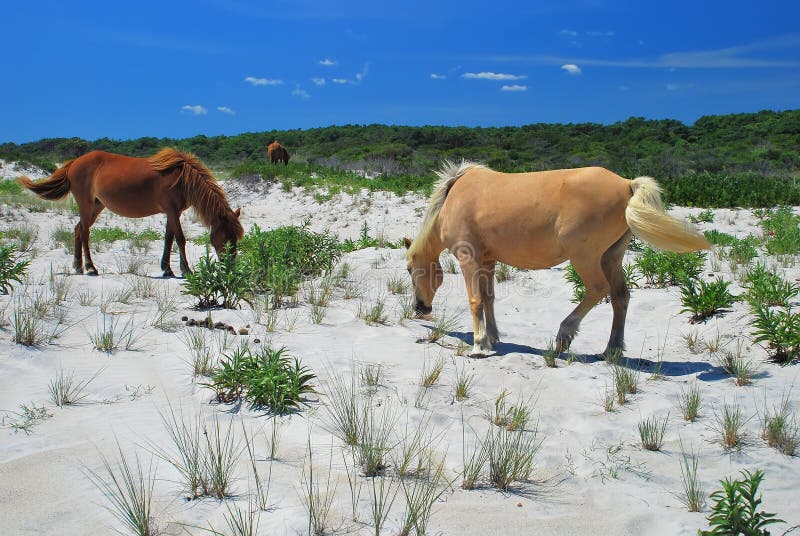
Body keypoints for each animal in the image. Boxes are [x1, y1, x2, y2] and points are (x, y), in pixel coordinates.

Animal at [18, 148, 244, 277]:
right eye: (226, 238)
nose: (231, 268)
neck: (183, 177)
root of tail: (74, 162)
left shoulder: (173, 212)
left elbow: (168, 238)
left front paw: (167, 269)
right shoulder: (171, 210)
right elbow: (180, 238)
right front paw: (185, 270)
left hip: (97, 206)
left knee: (77, 229)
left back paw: (78, 266)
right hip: (86, 204)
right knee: (84, 233)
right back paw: (91, 268)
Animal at [404, 161, 710, 358]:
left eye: (409, 269)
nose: (419, 308)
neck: (453, 198)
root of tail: (626, 183)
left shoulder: (469, 259)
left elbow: (476, 300)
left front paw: (479, 345)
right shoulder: (488, 262)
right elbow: (489, 298)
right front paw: (493, 338)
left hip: (585, 258)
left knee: (598, 290)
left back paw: (565, 335)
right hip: (611, 258)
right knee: (620, 296)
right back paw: (611, 349)